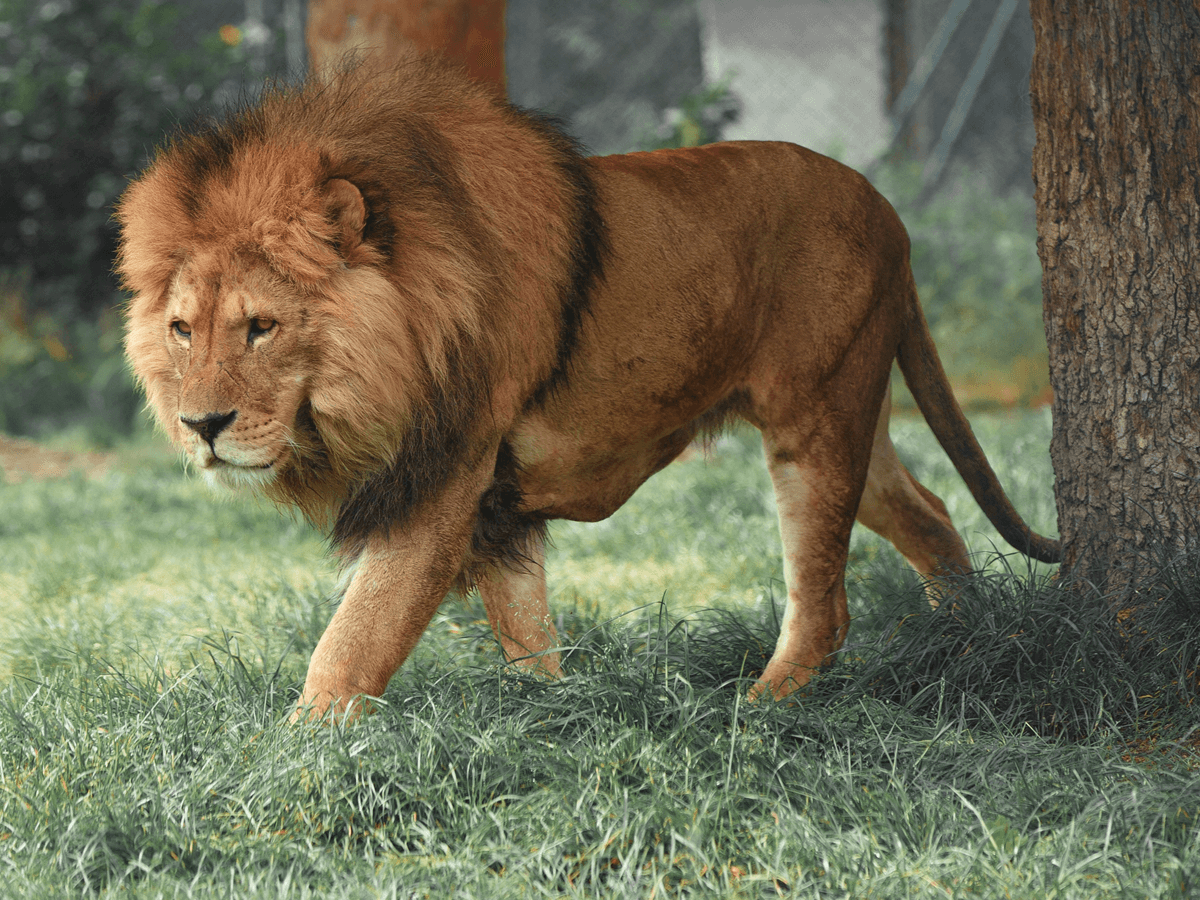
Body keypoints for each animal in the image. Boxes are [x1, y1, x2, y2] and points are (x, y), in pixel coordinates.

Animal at [117, 55, 1060, 719]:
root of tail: (888, 211)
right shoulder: (492, 504)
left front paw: (294, 756)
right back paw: (965, 639)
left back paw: (754, 713)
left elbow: (355, 639)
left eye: (261, 327)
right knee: (928, 510)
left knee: (824, 603)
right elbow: (525, 632)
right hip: (851, 410)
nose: (202, 425)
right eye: (182, 329)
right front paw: (559, 716)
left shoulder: (444, 478)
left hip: (816, 417)